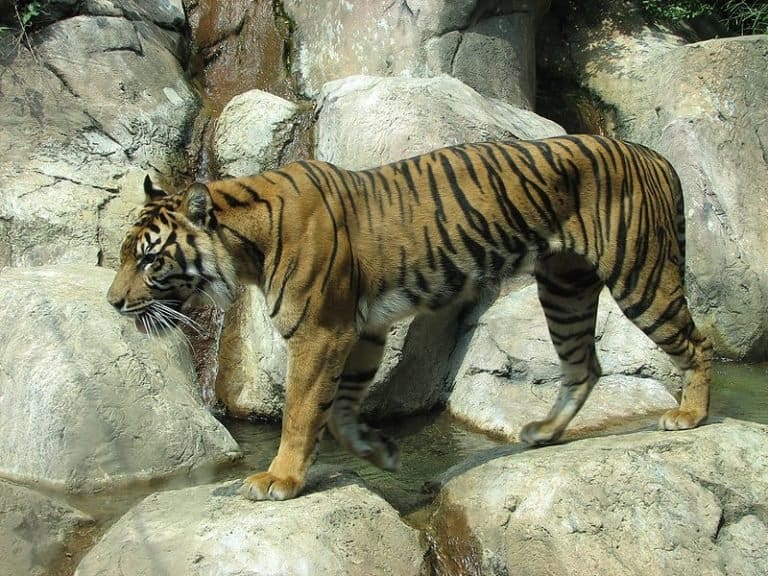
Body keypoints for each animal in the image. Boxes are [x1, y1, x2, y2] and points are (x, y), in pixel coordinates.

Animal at [107, 134, 712, 501]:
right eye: (124, 254)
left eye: (150, 259)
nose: (112, 302)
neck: (244, 248)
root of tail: (657, 156)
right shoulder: (363, 330)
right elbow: (338, 411)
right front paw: (374, 451)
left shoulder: (320, 332)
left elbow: (302, 410)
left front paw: (279, 478)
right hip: (565, 288)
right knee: (584, 366)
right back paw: (544, 432)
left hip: (640, 274)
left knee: (698, 343)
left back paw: (690, 416)